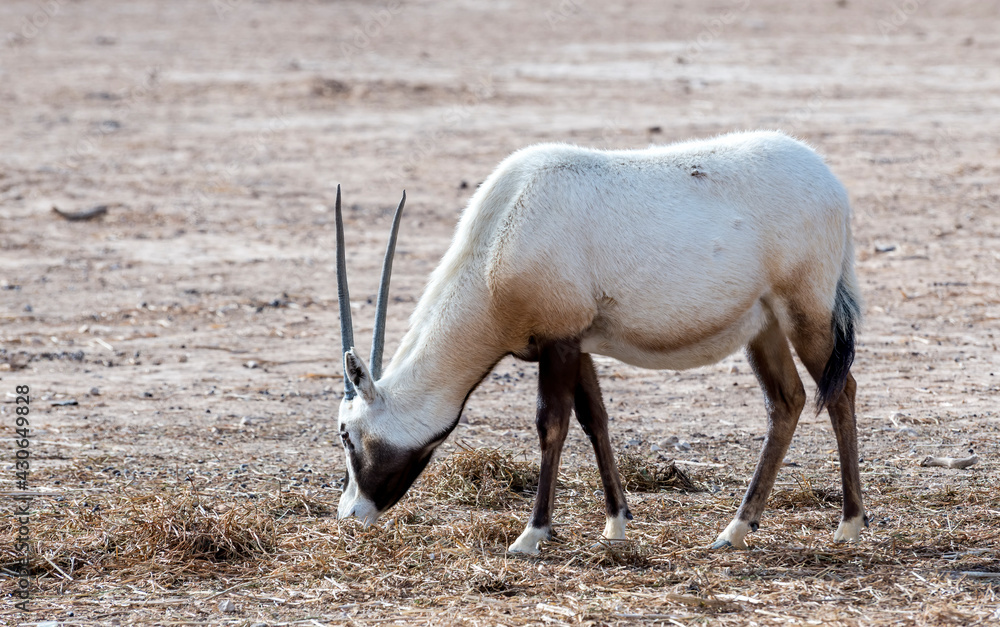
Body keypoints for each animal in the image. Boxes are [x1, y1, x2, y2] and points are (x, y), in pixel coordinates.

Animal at [335, 130, 866, 553]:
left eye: (346, 433)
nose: (349, 513)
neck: (498, 242)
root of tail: (831, 182)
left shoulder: (559, 340)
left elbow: (552, 425)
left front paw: (531, 535)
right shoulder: (579, 341)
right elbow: (595, 420)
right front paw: (616, 524)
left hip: (806, 314)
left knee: (842, 392)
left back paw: (849, 525)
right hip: (764, 325)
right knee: (787, 402)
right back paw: (736, 529)